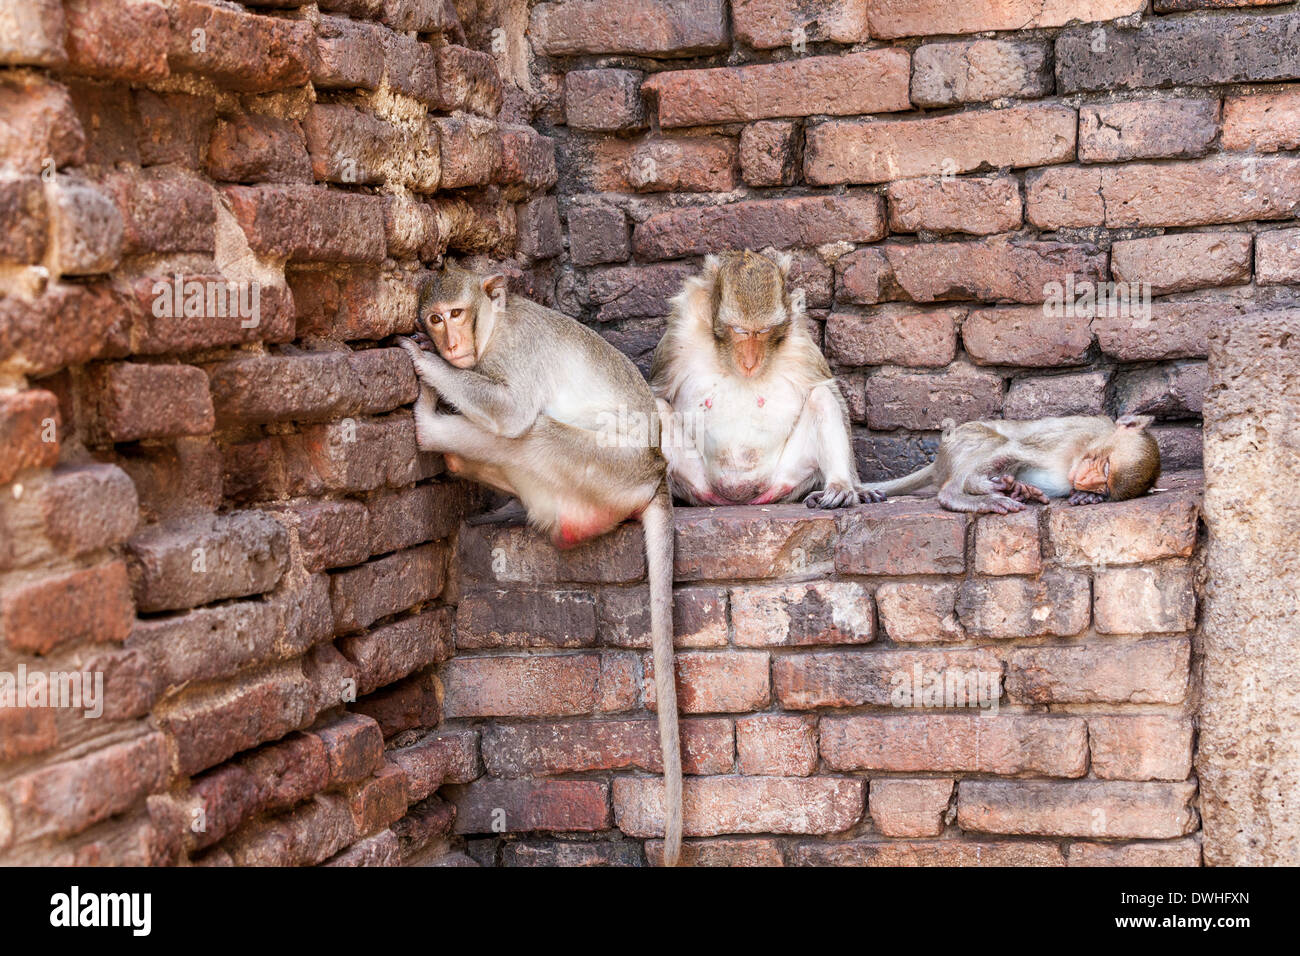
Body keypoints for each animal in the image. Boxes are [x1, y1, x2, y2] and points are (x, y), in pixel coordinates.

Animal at [396, 262, 684, 865]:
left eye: (455, 314)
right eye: (436, 317)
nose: (449, 343)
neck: (491, 326)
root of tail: (655, 475)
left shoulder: (514, 351)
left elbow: (513, 411)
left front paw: (426, 365)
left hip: (601, 469)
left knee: (530, 429)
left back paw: (432, 427)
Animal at [650, 249, 883, 510]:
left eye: (763, 331)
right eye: (739, 330)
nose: (750, 362)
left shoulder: (799, 342)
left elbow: (826, 389)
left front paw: (857, 486)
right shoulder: (678, 336)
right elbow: (656, 392)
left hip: (785, 478)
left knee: (821, 398)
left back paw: (839, 487)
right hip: (698, 484)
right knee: (657, 407)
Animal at [862, 414, 1161, 514]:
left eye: (1105, 487)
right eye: (1105, 465)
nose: (1085, 482)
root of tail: (938, 462)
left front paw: (1087, 498)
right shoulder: (1067, 439)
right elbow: (1012, 448)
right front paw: (983, 488)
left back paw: (1020, 489)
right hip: (963, 437)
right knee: (994, 443)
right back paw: (963, 496)